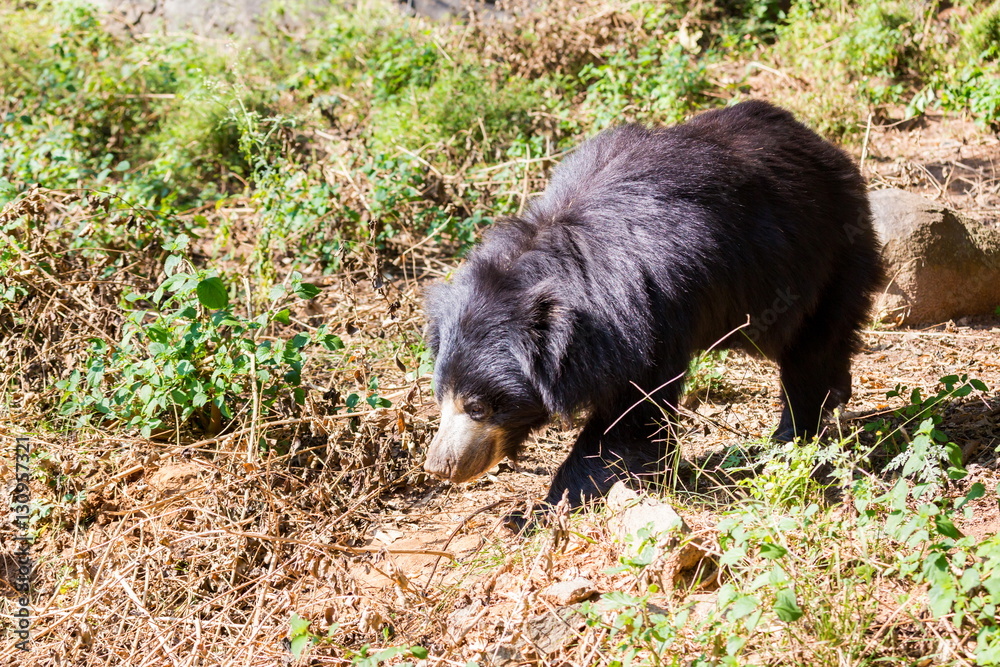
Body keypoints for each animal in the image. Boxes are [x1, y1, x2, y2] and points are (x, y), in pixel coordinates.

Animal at [422, 100, 885, 512]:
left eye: (479, 407)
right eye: (441, 397)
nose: (440, 466)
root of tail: (822, 146)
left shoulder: (648, 314)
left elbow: (630, 418)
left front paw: (538, 510)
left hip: (822, 260)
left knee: (810, 348)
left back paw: (790, 435)